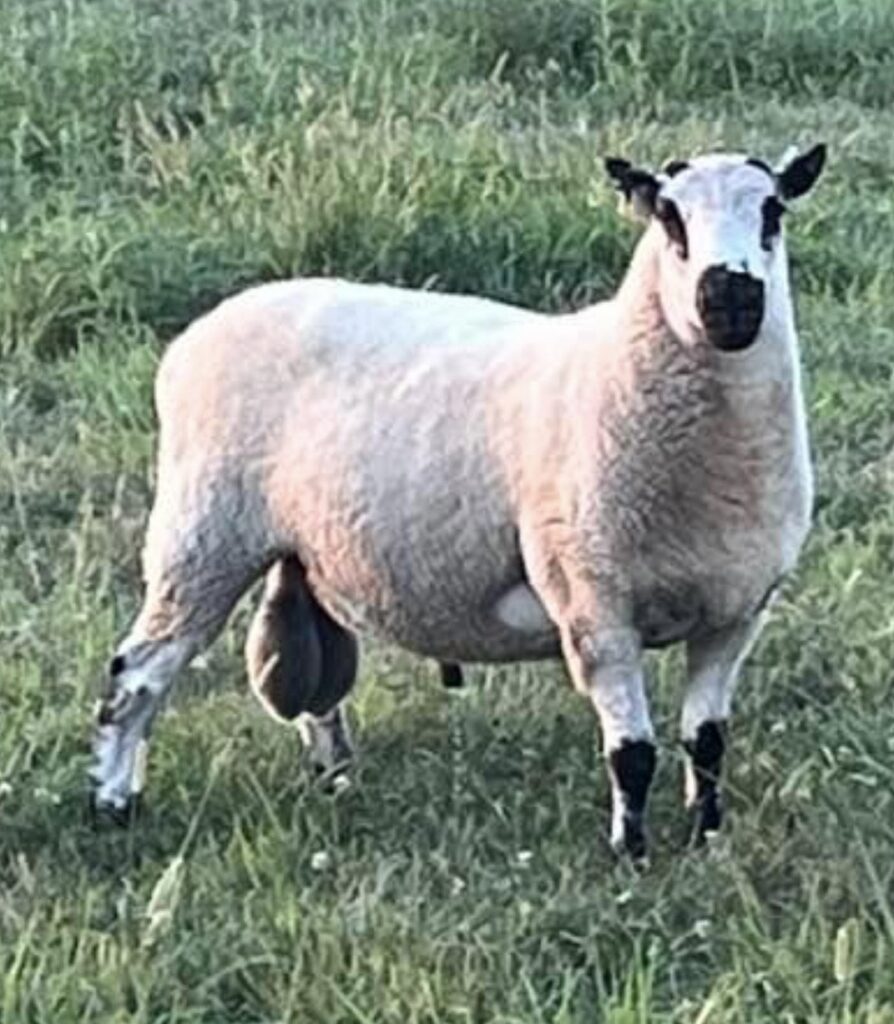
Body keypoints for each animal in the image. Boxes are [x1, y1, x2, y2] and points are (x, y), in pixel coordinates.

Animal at [90, 145, 826, 860]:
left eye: (773, 212)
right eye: (669, 218)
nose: (729, 295)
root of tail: (197, 335)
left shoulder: (735, 613)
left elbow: (707, 744)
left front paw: (707, 839)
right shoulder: (595, 606)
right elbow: (633, 753)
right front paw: (633, 856)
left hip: (302, 546)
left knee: (315, 683)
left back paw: (333, 777)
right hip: (203, 534)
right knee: (137, 672)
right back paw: (113, 801)